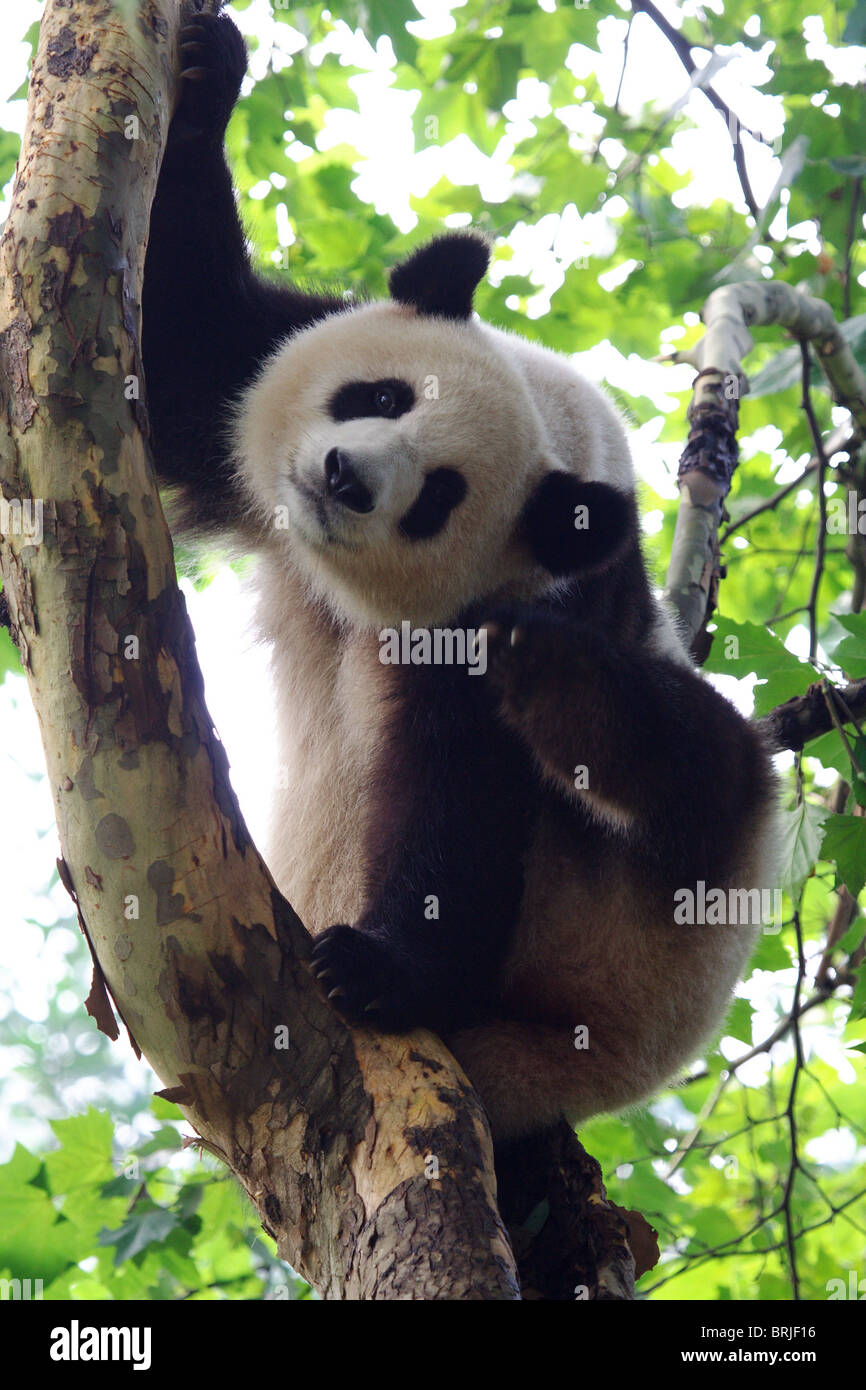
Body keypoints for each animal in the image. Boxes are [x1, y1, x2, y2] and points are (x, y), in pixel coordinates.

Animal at [142, 12, 778, 1141]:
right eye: (380, 395)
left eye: (439, 495)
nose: (344, 480)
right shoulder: (255, 370)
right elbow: (180, 336)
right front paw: (208, 69)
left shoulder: (499, 615)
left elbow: (460, 815)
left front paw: (378, 970)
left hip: (647, 931)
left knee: (706, 771)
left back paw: (569, 690)